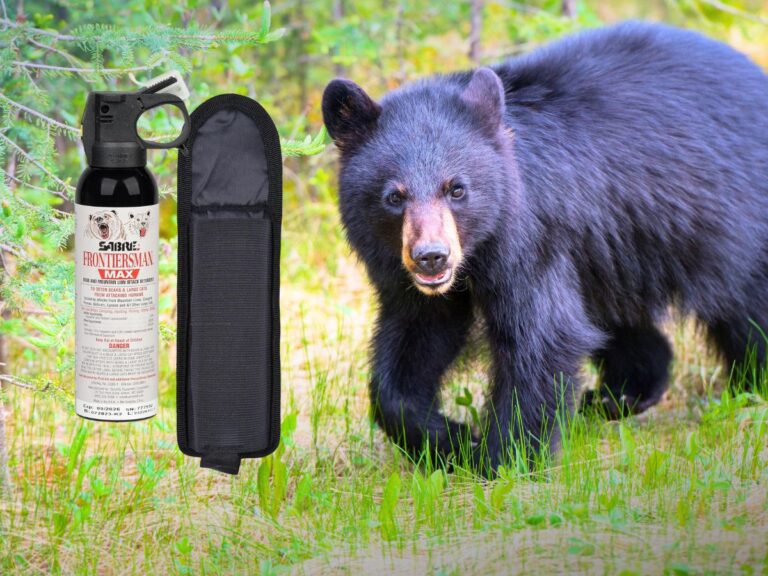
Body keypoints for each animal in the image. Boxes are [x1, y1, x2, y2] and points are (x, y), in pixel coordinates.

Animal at [321, 22, 768, 473]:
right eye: (394, 197)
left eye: (457, 188)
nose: (432, 256)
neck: (478, 252)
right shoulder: (408, 280)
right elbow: (414, 342)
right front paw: (448, 439)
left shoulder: (533, 240)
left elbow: (541, 337)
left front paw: (504, 456)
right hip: (615, 251)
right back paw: (618, 395)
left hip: (733, 228)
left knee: (750, 311)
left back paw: (748, 384)